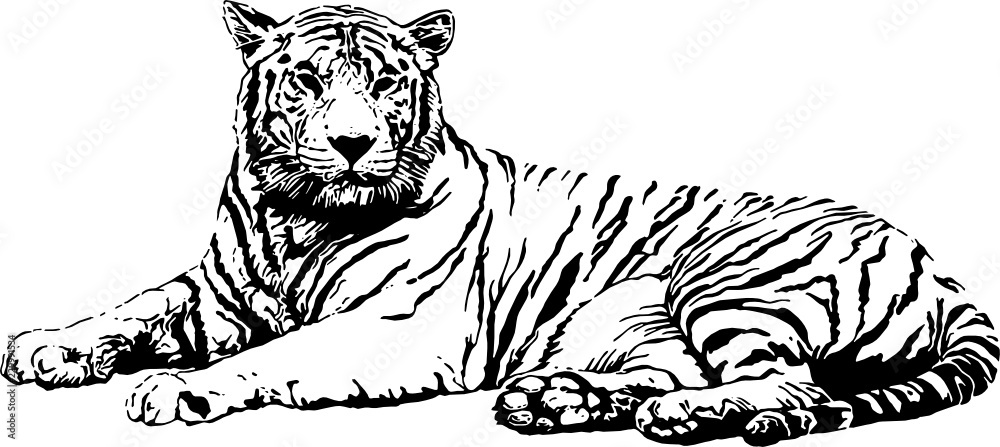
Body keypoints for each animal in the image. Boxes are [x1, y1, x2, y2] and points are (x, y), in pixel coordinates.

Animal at [2, 2, 996, 446]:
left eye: (386, 82)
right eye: (311, 80)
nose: (354, 143)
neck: (298, 214)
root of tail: (938, 261)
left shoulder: (390, 327)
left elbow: (276, 354)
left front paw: (179, 390)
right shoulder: (215, 294)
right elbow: (130, 306)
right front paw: (46, 345)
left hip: (729, 283)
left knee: (793, 389)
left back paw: (681, 416)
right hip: (641, 327)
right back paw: (555, 401)